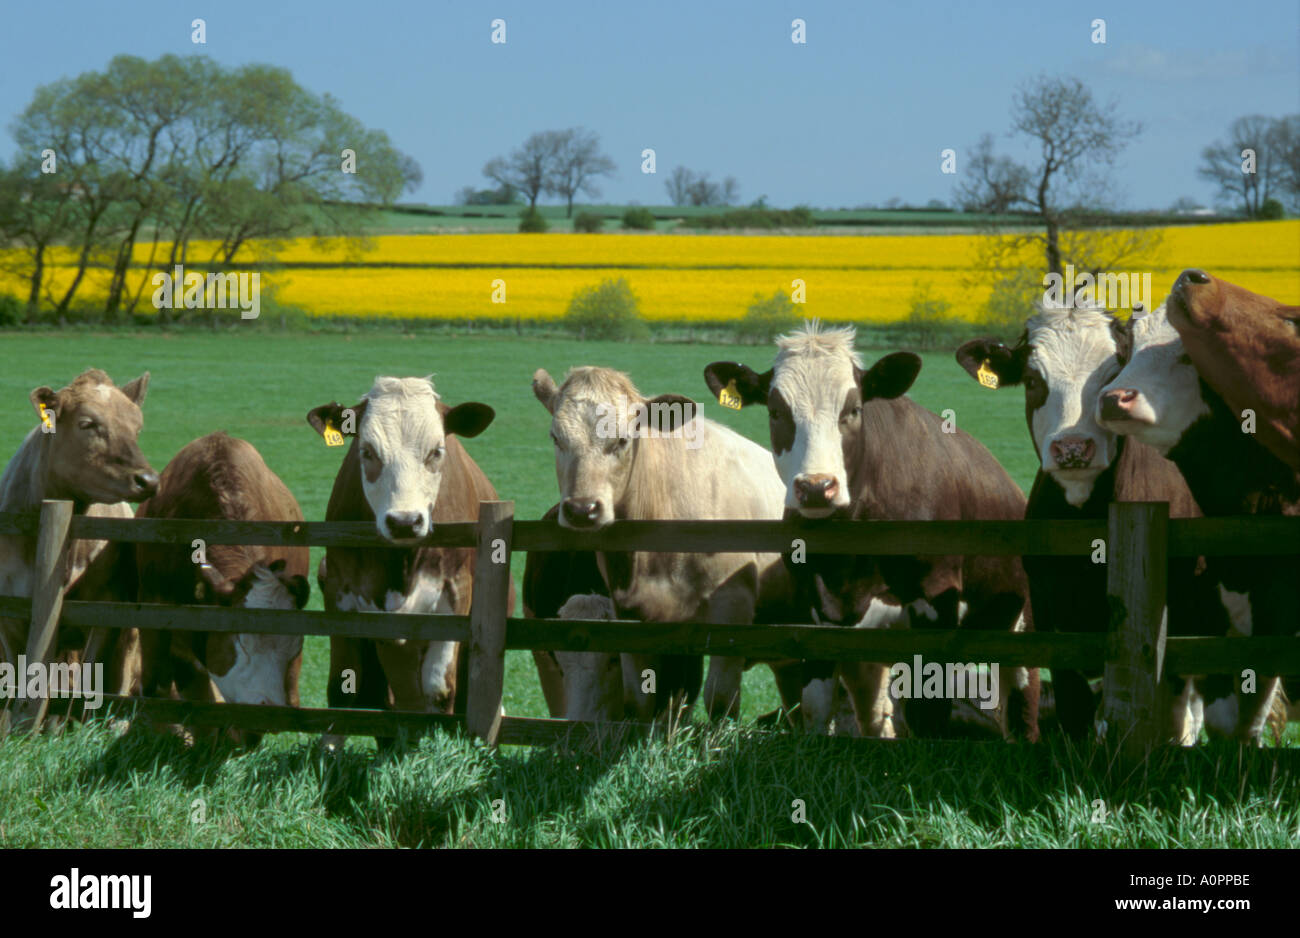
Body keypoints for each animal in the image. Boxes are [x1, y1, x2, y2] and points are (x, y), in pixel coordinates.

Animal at [0, 369, 157, 721]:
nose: (148, 480)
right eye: (87, 424)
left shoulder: (103, 608)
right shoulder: (9, 615)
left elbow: (89, 681)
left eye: (138, 427)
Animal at [307, 376, 507, 748]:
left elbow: (438, 689)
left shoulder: (455, 592)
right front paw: (329, 753)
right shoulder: (341, 591)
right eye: (367, 452)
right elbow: (344, 688)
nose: (404, 521)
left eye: (436, 451)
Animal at [531, 365, 786, 724]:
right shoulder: (628, 613)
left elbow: (720, 700)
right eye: (556, 438)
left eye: (623, 439)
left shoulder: (732, 607)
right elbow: (639, 701)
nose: (582, 510)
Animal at [707, 322, 1038, 741]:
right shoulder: (818, 609)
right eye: (776, 411)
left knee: (1023, 706)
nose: (817, 487)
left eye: (853, 410)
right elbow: (817, 705)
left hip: (1019, 622)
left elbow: (929, 714)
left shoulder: (936, 600)